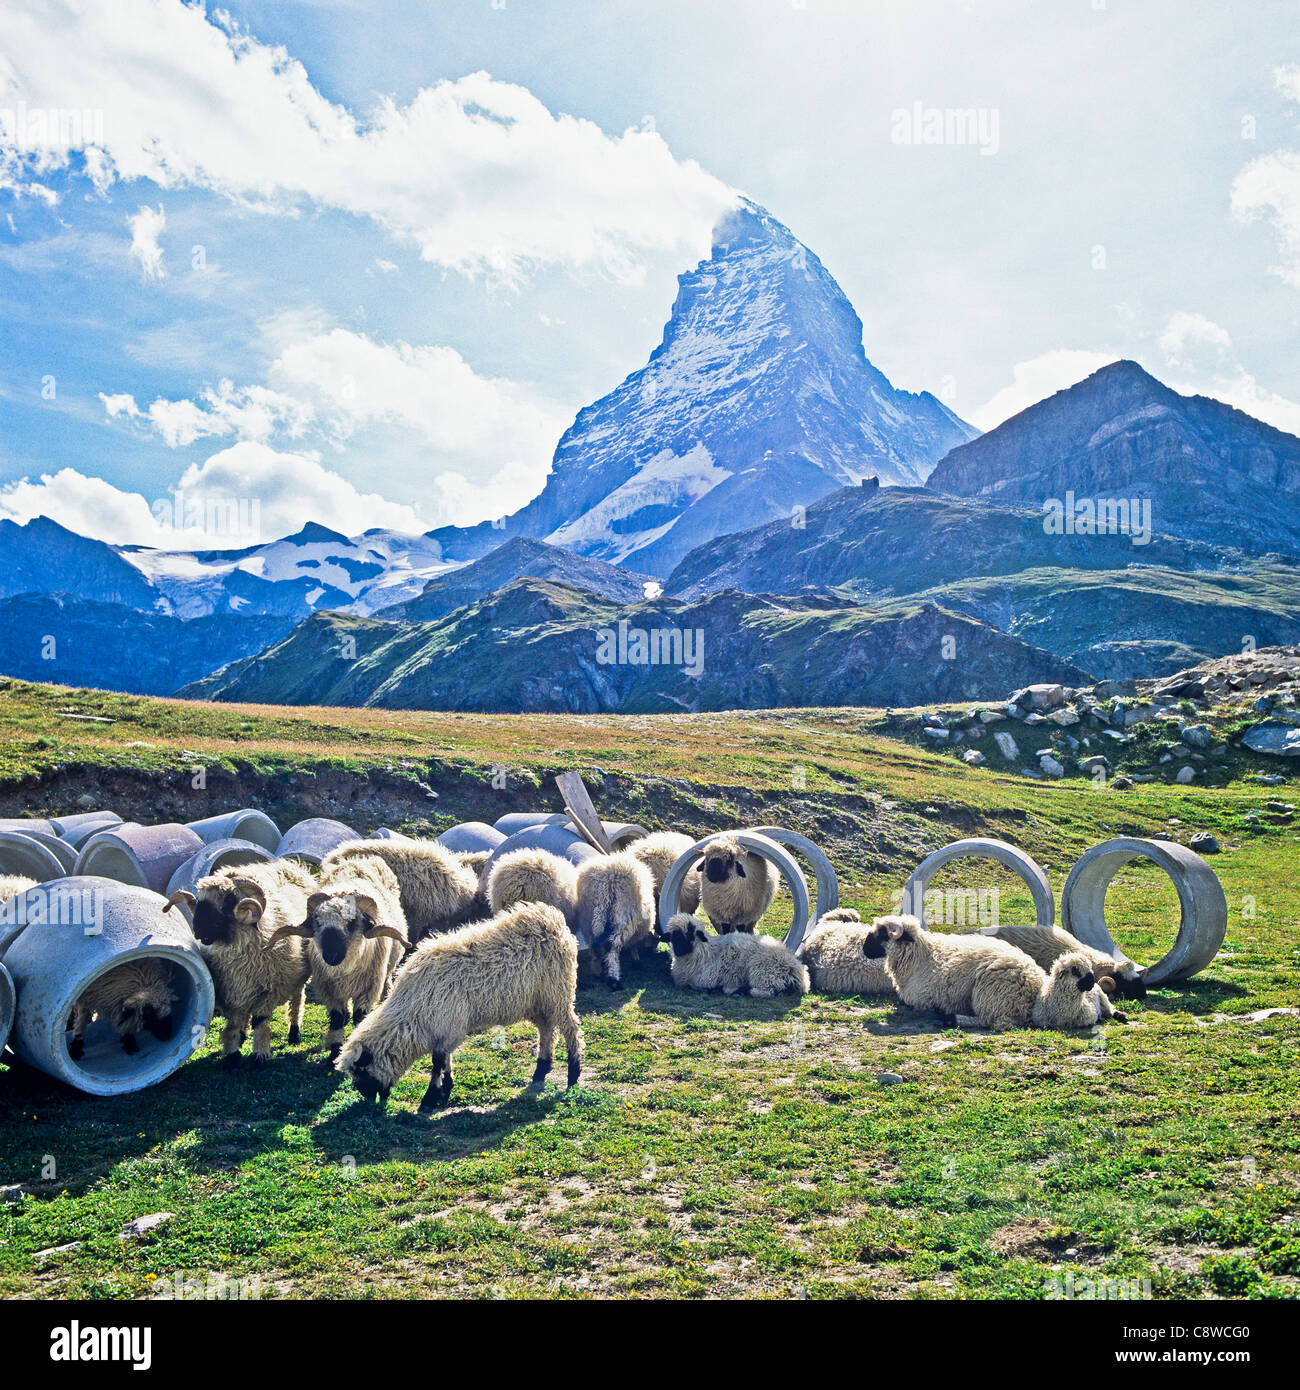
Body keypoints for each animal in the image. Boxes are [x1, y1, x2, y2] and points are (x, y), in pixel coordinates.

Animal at [163, 859, 314, 1070]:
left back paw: (294, 1033)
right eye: (200, 900)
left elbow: (260, 1021)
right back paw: (244, 1035)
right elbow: (235, 1021)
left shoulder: (271, 989)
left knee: (297, 999)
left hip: (298, 974)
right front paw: (233, 1054)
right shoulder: (232, 990)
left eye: (228, 900)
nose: (199, 932)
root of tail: (291, 866)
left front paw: (260, 1055)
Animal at [262, 854, 412, 1060]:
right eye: (317, 921)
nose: (331, 955)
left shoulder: (369, 988)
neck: (345, 969)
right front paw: (334, 1051)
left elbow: (360, 1017)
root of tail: (361, 858)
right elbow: (337, 1018)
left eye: (351, 923)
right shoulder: (328, 989)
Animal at [335, 901, 584, 1112]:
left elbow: (437, 1061)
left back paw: (573, 1075)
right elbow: (445, 1059)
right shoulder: (447, 1028)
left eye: (360, 1070)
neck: (413, 1009)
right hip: (537, 1001)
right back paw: (541, 1071)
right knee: (547, 1031)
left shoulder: (448, 1023)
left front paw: (430, 1098)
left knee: (571, 1030)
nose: (366, 1099)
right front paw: (446, 1089)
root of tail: (552, 918)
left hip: (559, 991)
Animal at [574, 851, 656, 988]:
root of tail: (607, 881)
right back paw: (614, 979)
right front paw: (636, 960)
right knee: (612, 946)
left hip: (590, 918)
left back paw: (599, 972)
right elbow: (633, 945)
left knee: (596, 946)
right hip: (623, 916)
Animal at [664, 913, 808, 998]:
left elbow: (695, 985)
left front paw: (711, 990)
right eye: (673, 936)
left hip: (761, 970)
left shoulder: (706, 978)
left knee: (767, 991)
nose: (678, 950)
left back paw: (742, 990)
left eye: (689, 934)